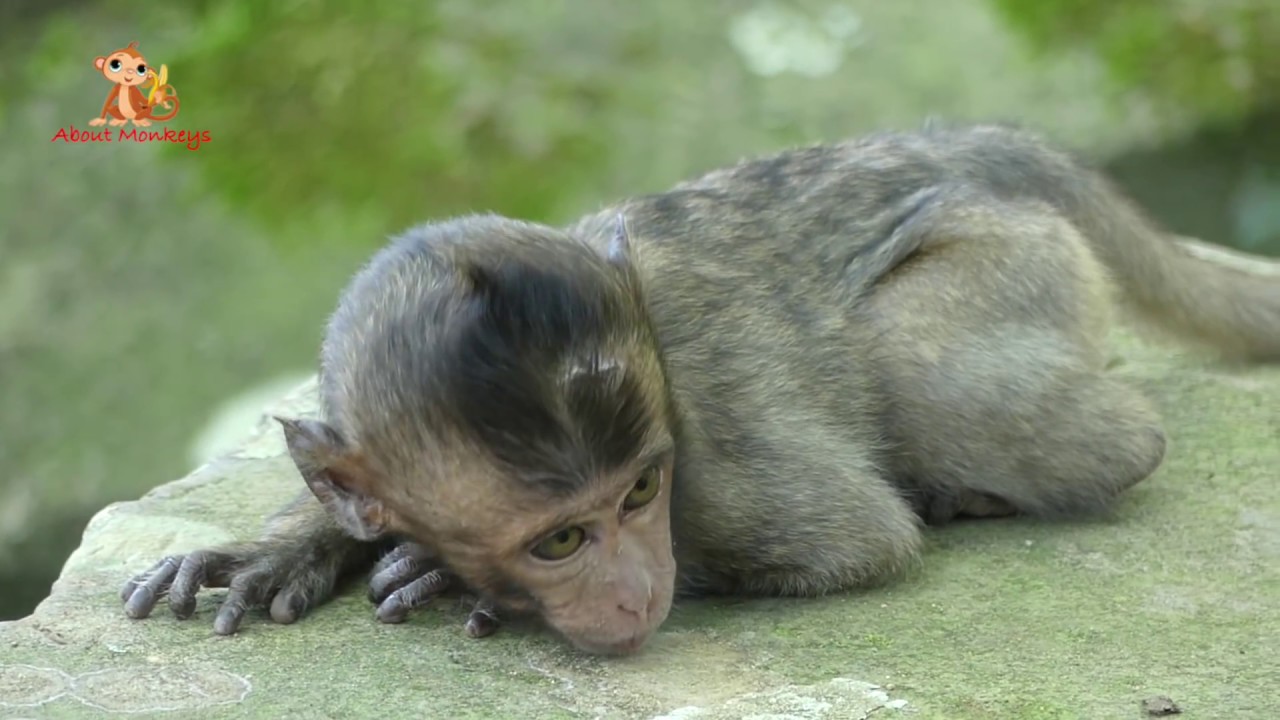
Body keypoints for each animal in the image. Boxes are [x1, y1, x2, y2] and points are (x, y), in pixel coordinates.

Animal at [119, 123, 1280, 656]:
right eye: (559, 539)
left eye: (641, 493)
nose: (635, 591)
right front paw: (283, 547)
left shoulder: (722, 462)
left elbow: (857, 539)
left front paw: (446, 578)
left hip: (1013, 263)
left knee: (960, 381)